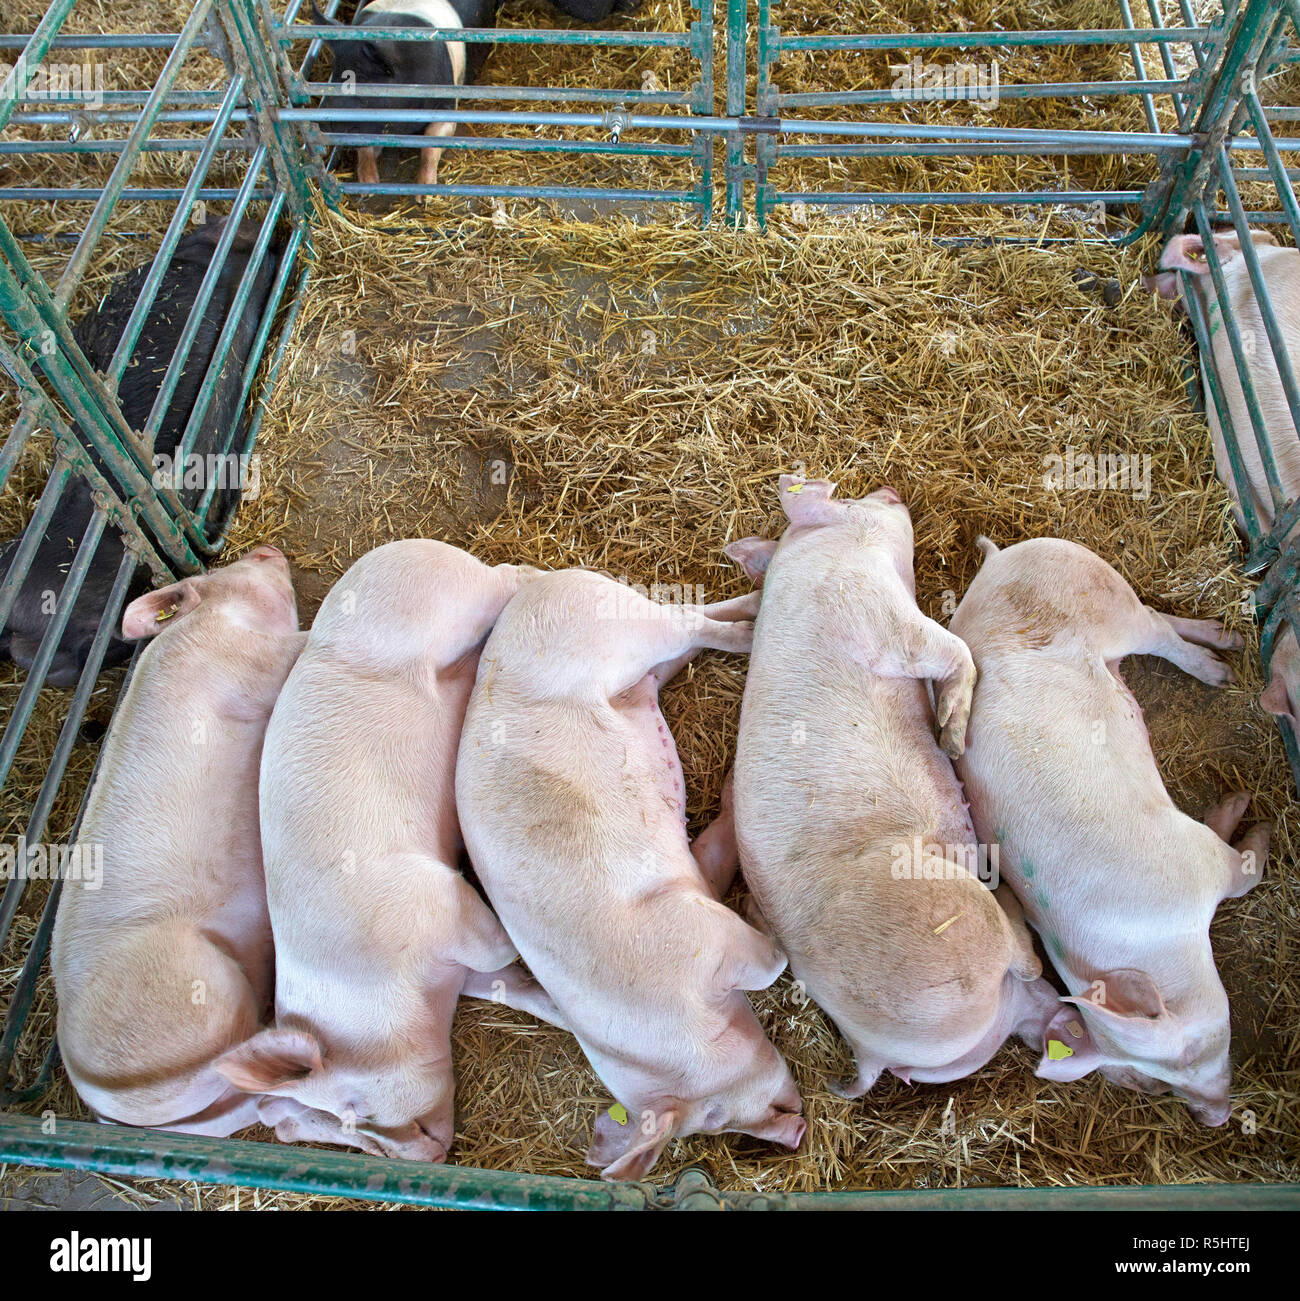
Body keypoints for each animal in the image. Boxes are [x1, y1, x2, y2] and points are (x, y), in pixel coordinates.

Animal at [213, 539, 560, 1162]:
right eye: (335, 1131)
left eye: (355, 1111)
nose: (429, 1156)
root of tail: (384, 553)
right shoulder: (452, 966)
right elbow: (509, 991)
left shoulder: (436, 899)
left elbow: (496, 950)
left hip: (448, 601)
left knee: (504, 578)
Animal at [455, 568, 805, 1180]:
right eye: (715, 1122)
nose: (796, 1135)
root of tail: (539, 588)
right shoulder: (698, 887)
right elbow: (715, 851)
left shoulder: (702, 938)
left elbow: (768, 967)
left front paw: (768, 928)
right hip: (640, 661)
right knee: (687, 631)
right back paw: (755, 607)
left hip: (619, 631)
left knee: (685, 622)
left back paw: (752, 624)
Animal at [725, 477, 1059, 1099]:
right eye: (853, 502)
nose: (889, 488)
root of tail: (871, 1051)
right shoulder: (882, 615)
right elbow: (955, 651)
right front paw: (951, 735)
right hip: (955, 918)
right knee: (1023, 957)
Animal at [950, 535, 1270, 1126]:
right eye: (1159, 1083)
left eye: (1192, 1048)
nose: (1215, 1118)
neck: (1157, 937)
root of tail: (1000, 559)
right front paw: (1238, 805)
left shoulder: (1200, 862)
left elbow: (1247, 871)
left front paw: (1254, 814)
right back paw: (1228, 643)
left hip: (1102, 596)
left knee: (1155, 625)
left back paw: (1222, 669)